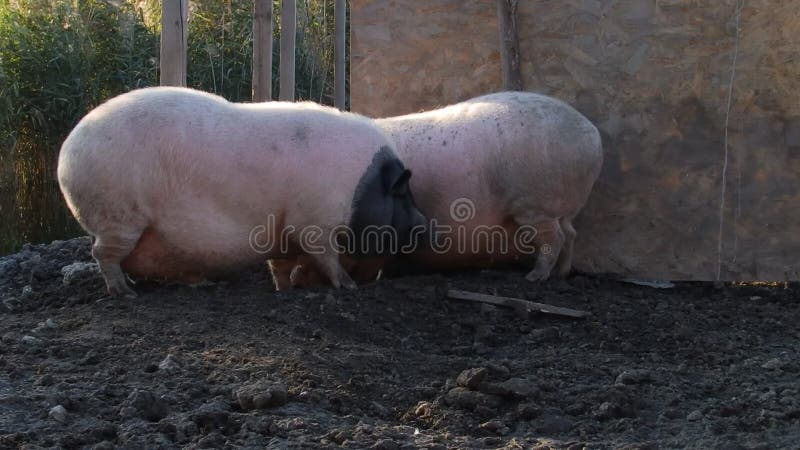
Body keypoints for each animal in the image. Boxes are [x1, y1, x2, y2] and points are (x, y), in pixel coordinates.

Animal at [57, 86, 426, 298]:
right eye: (403, 194)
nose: (425, 222)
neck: (361, 188)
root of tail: (67, 150)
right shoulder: (314, 222)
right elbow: (328, 258)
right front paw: (347, 287)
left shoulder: (284, 231)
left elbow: (280, 266)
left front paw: (283, 291)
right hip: (118, 216)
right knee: (102, 254)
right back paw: (125, 294)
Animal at [274, 91, 602, 287]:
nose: (290, 282)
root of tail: (591, 134)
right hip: (557, 206)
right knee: (571, 233)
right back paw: (562, 274)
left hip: (535, 204)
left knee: (554, 238)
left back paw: (535, 277)